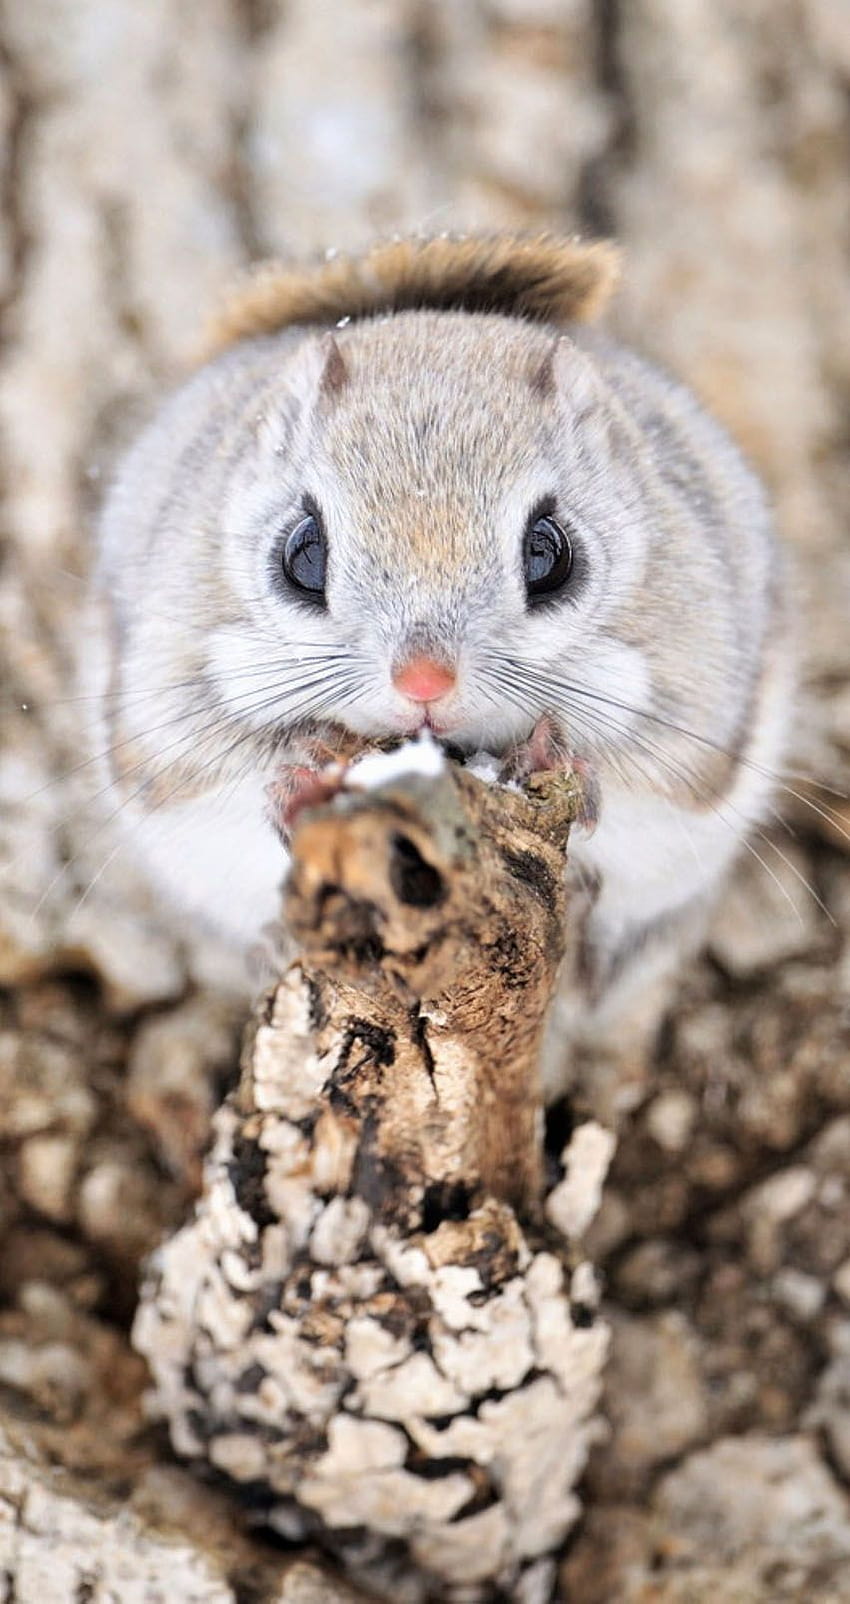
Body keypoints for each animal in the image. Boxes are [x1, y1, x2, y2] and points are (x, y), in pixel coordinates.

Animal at [83, 234, 792, 1100]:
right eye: (301, 553)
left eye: (549, 553)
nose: (423, 683)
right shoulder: (169, 718)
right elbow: (224, 778)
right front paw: (298, 771)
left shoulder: (693, 709)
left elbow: (640, 783)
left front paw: (561, 761)